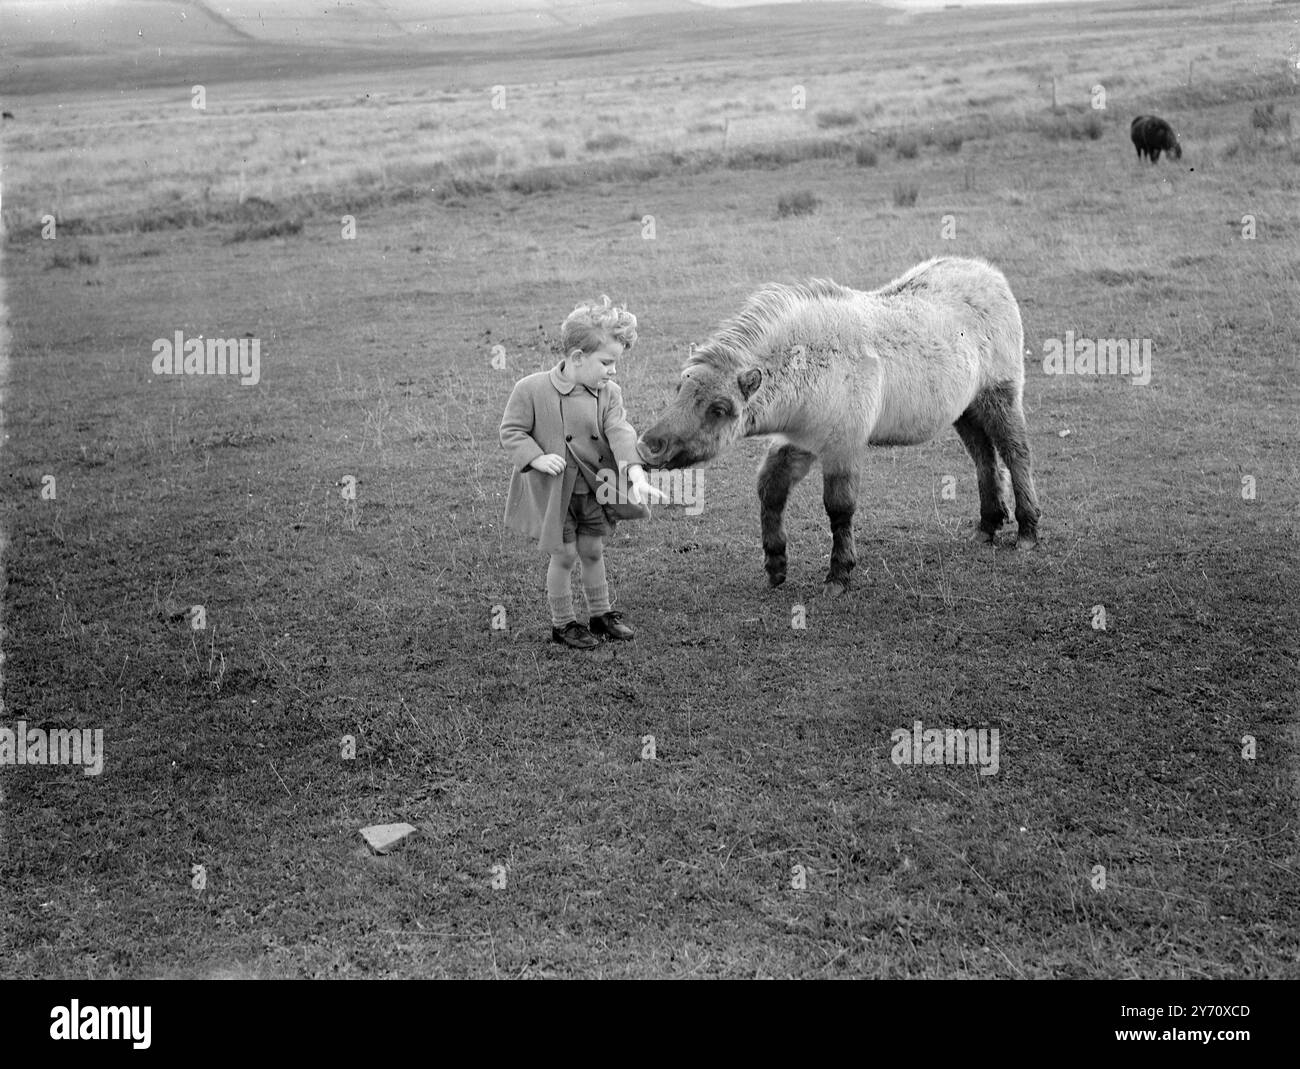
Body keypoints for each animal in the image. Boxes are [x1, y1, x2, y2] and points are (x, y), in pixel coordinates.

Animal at [636, 256, 1041, 596]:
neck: (815, 361)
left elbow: (839, 507)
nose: (650, 446)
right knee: (984, 458)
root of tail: (990, 274)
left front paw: (839, 575)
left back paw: (1027, 530)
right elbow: (771, 490)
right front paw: (776, 566)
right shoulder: (800, 442)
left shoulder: (842, 445)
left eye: (719, 408)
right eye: (679, 388)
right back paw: (988, 526)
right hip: (965, 411)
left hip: (1000, 397)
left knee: (1016, 454)